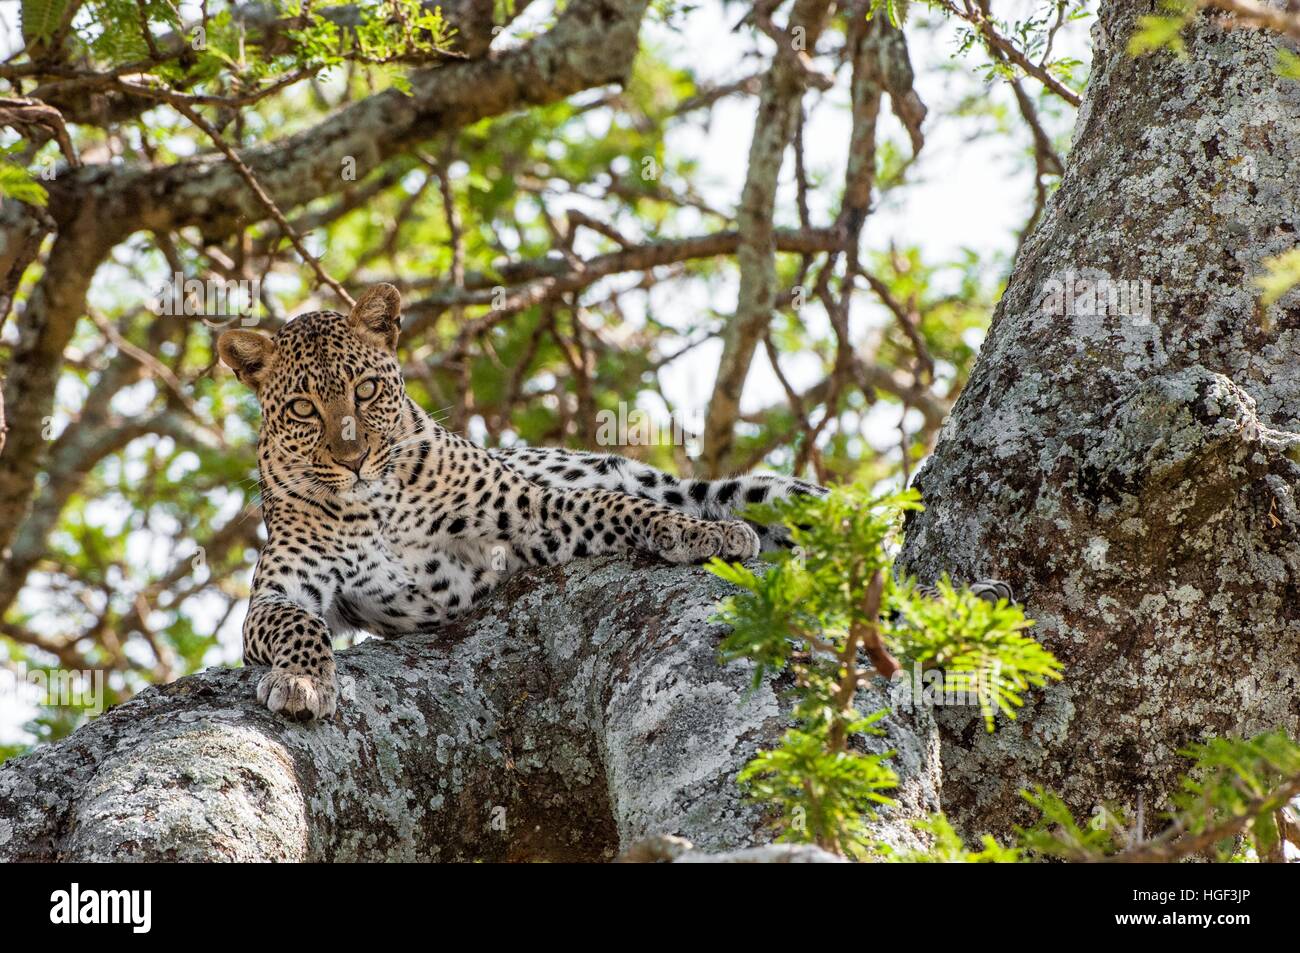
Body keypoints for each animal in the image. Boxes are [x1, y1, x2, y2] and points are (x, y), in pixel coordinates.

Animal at [220, 283, 1012, 721]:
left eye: (366, 391)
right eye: (303, 408)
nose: (352, 458)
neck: (378, 504)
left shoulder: (528, 511)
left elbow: (613, 511)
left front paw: (698, 536)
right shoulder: (280, 591)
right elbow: (299, 626)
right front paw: (302, 680)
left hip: (752, 490)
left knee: (857, 549)